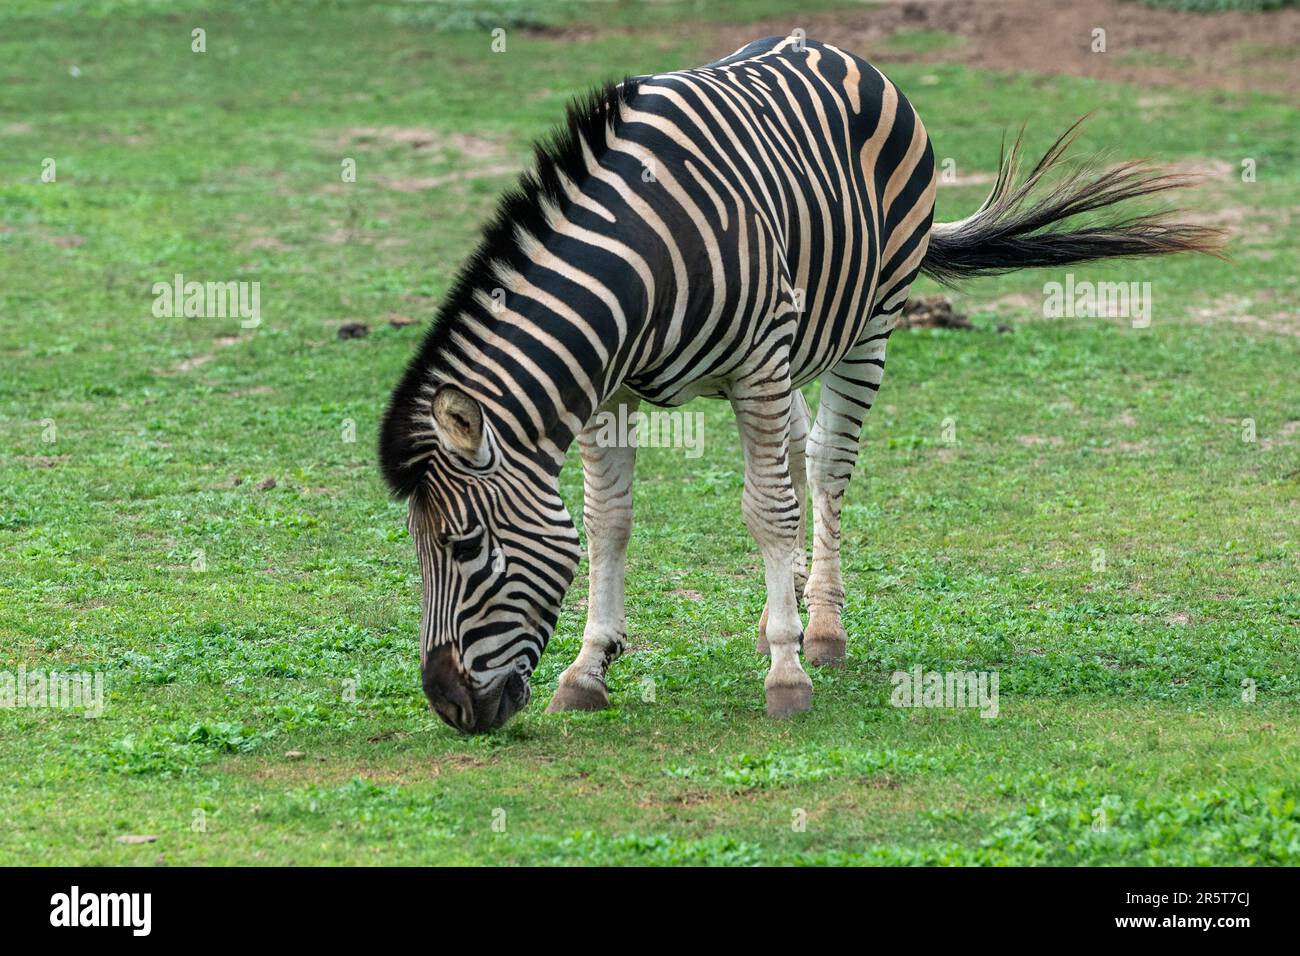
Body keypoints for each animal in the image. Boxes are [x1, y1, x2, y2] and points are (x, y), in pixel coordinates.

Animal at [379, 36, 1219, 733]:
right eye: (421, 547)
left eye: (463, 546)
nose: (450, 706)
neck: (638, 265)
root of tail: (832, 47)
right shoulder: (610, 392)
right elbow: (607, 521)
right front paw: (589, 669)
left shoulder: (754, 361)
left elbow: (769, 512)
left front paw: (787, 674)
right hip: (787, 357)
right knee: (799, 447)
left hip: (868, 324)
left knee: (824, 467)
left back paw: (821, 627)